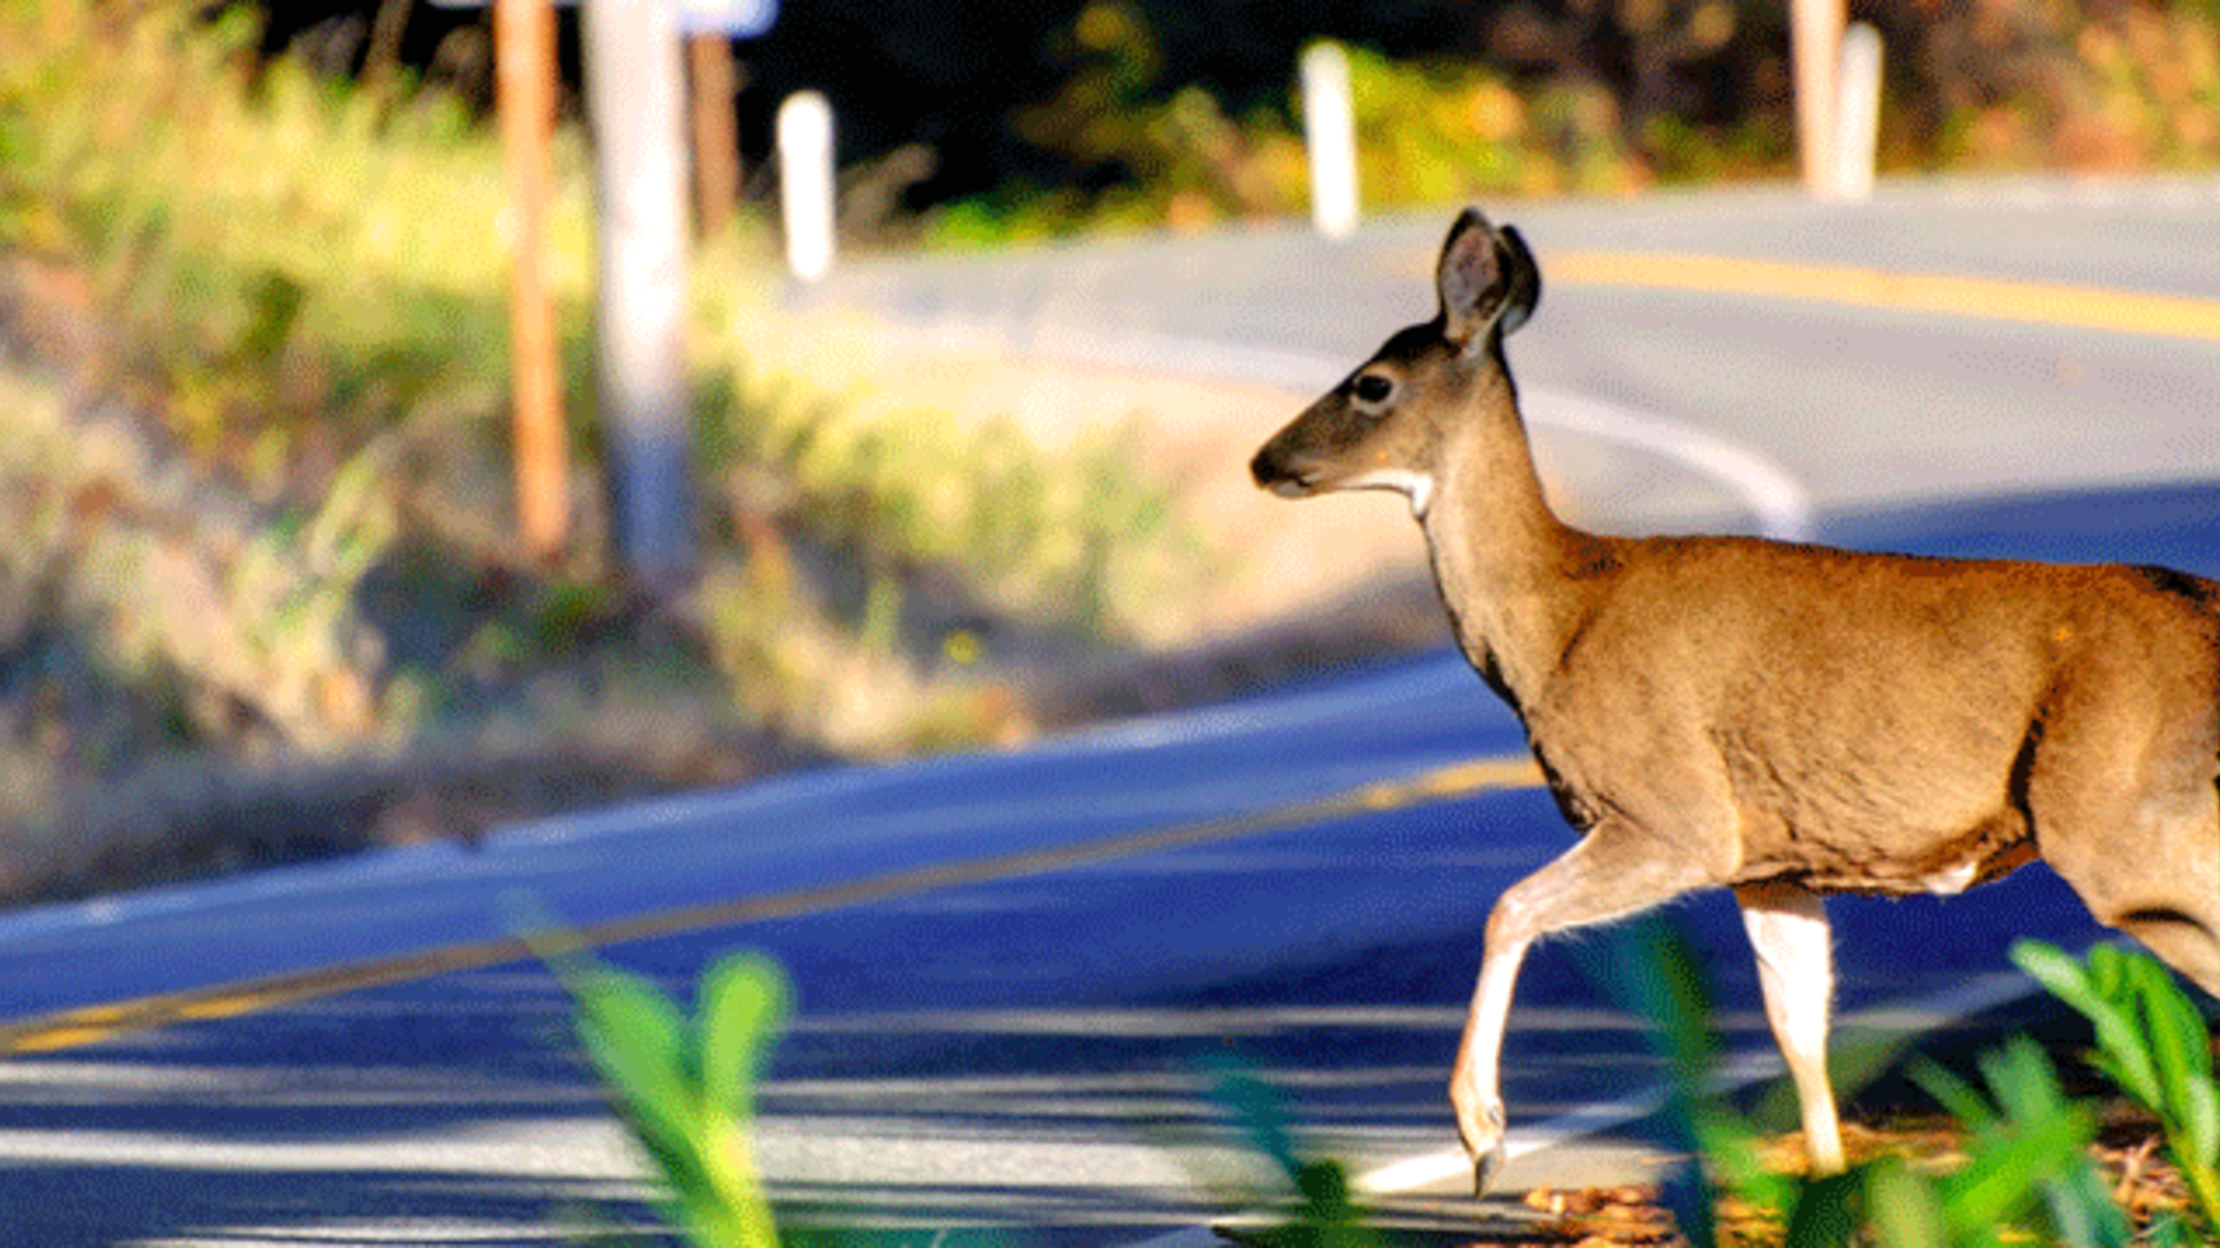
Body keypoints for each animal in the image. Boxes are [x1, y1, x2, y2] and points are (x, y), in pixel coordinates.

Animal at [1251, 206, 2220, 1192]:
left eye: (1372, 384)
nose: (1265, 460)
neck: (1557, 620)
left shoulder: (1673, 811)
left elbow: (1508, 908)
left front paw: (1482, 1135)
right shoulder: (1776, 859)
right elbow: (1799, 1026)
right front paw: (1828, 1182)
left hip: (2120, 821)